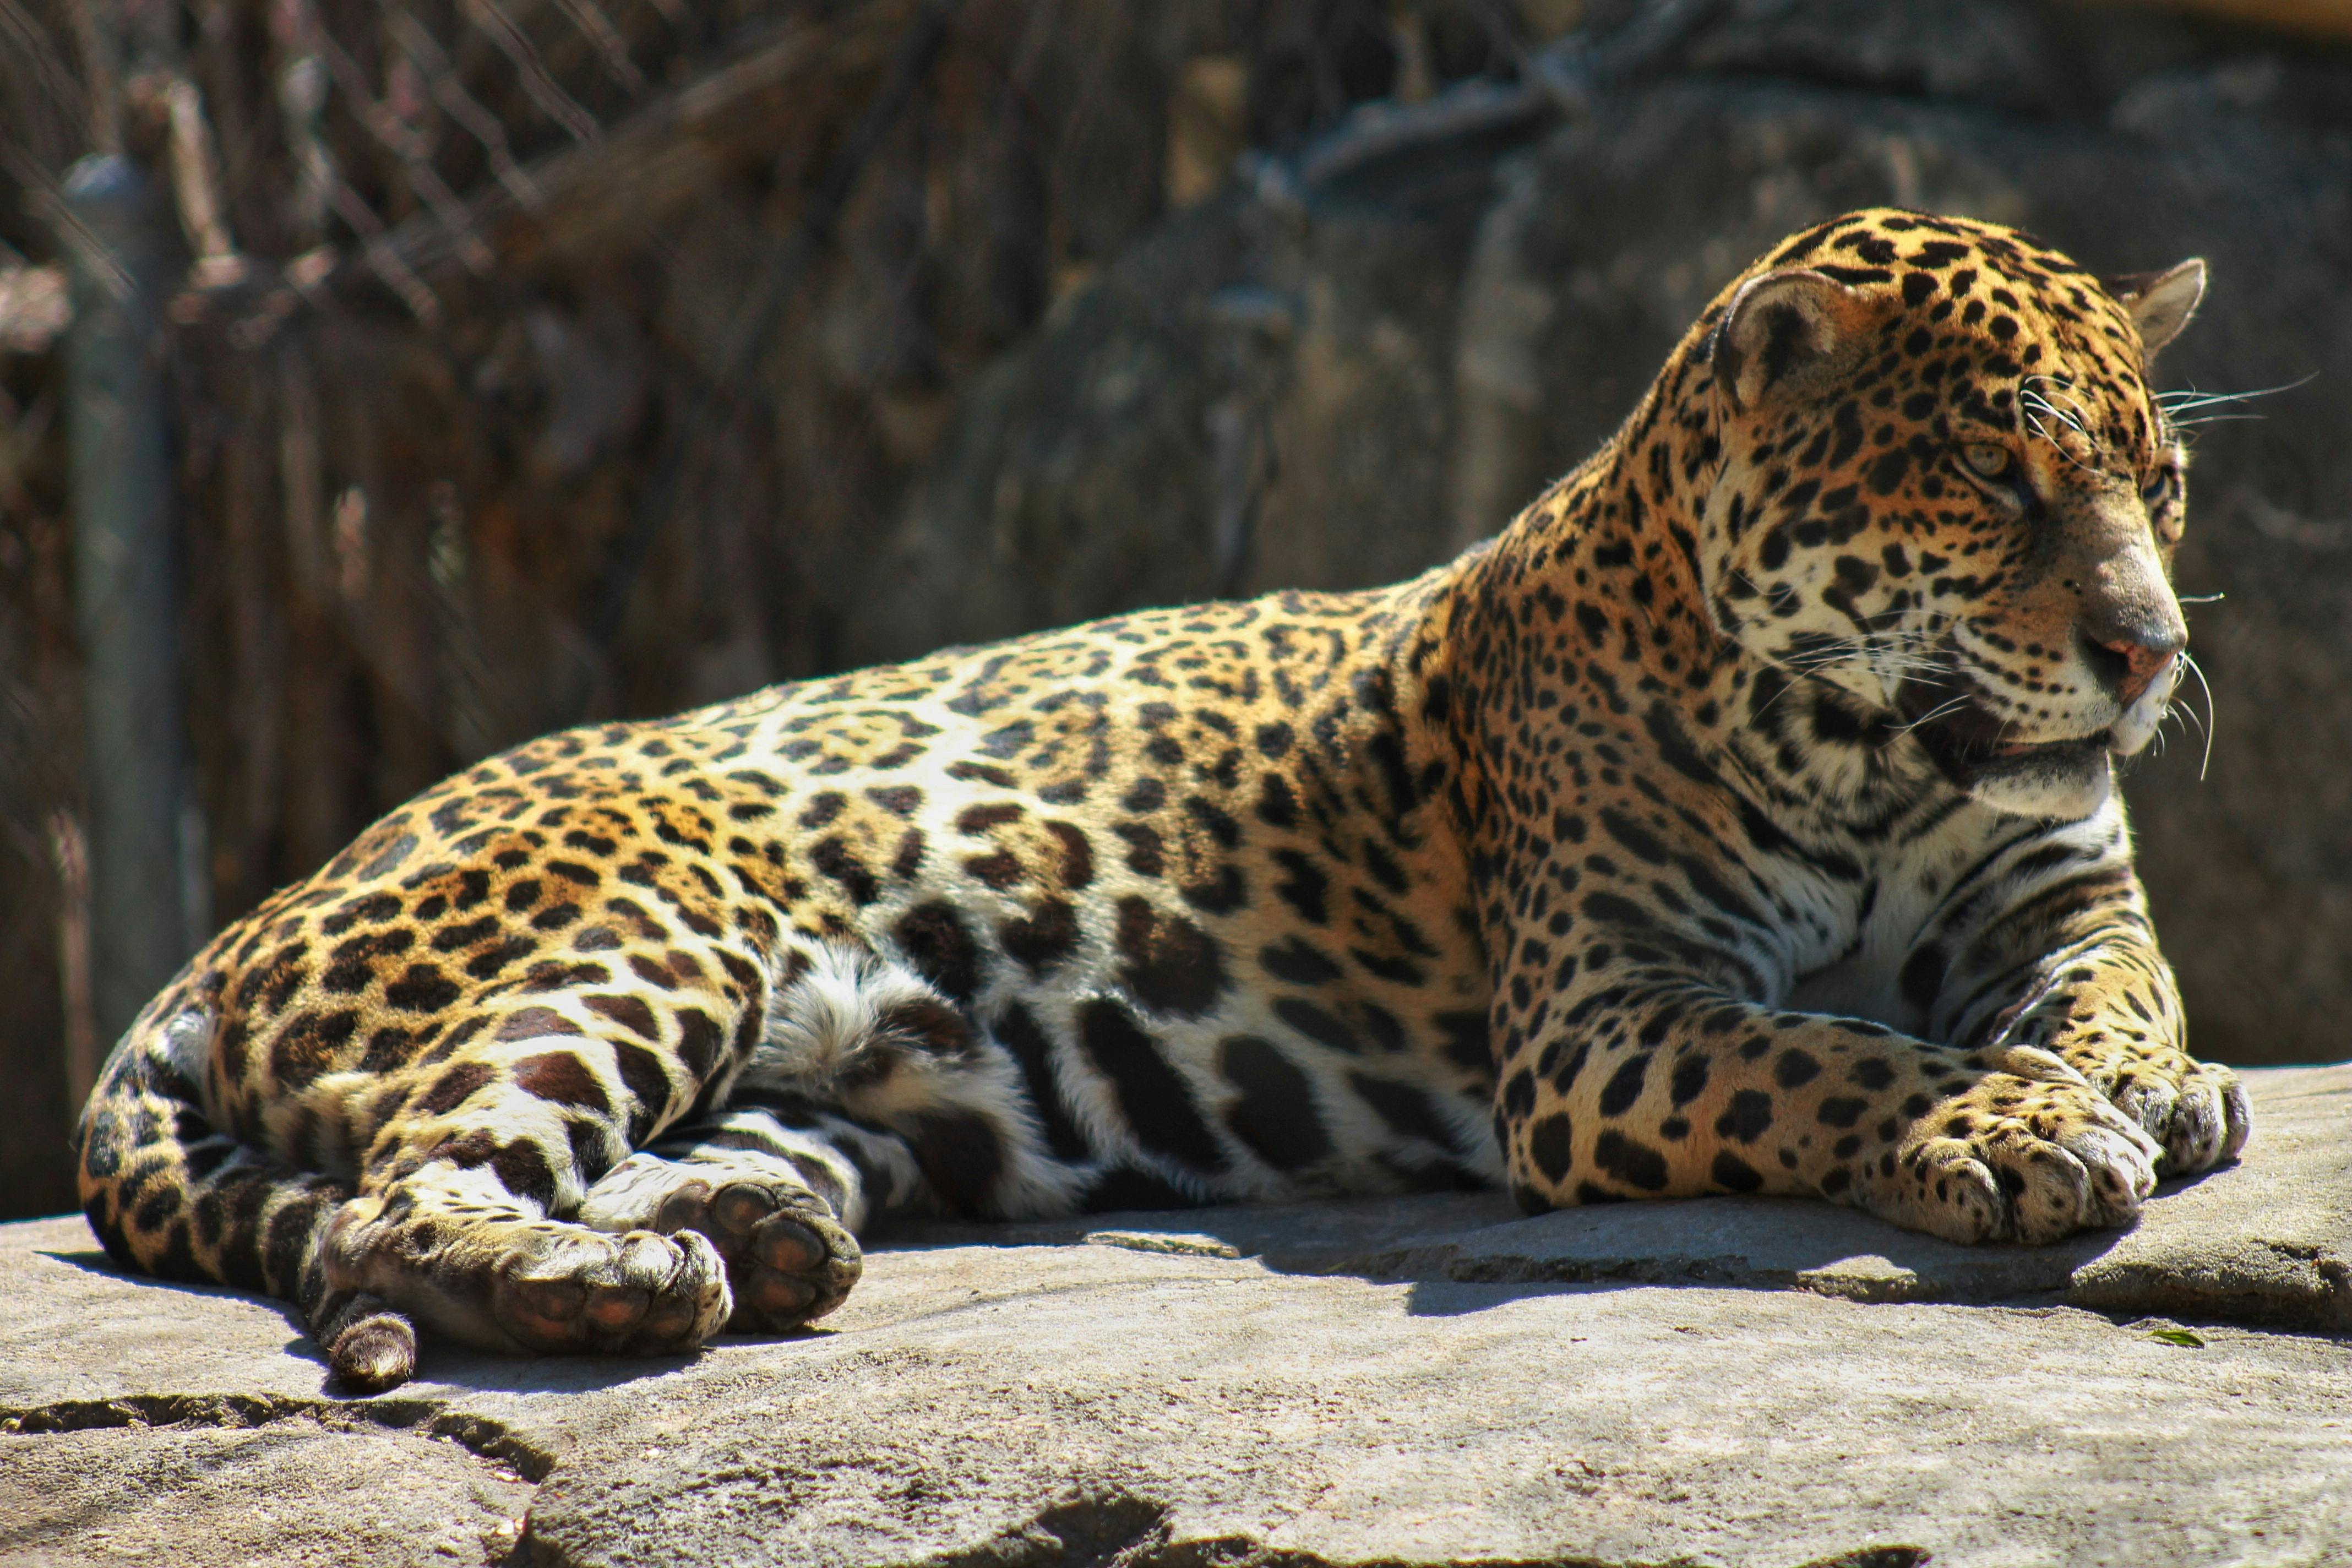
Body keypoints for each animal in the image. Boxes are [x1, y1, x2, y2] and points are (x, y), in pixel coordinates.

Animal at [76, 208, 2250, 1392]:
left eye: (2160, 483)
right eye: (1994, 481)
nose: (2147, 651)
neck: (1875, 752)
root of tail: (235, 927)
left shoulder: (2057, 898)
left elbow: (2116, 993)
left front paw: (2150, 1087)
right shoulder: (1599, 1021)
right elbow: (1829, 1053)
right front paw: (2011, 1122)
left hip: (860, 1084)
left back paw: (747, 1233)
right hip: (651, 919)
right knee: (386, 1205)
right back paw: (626, 1277)